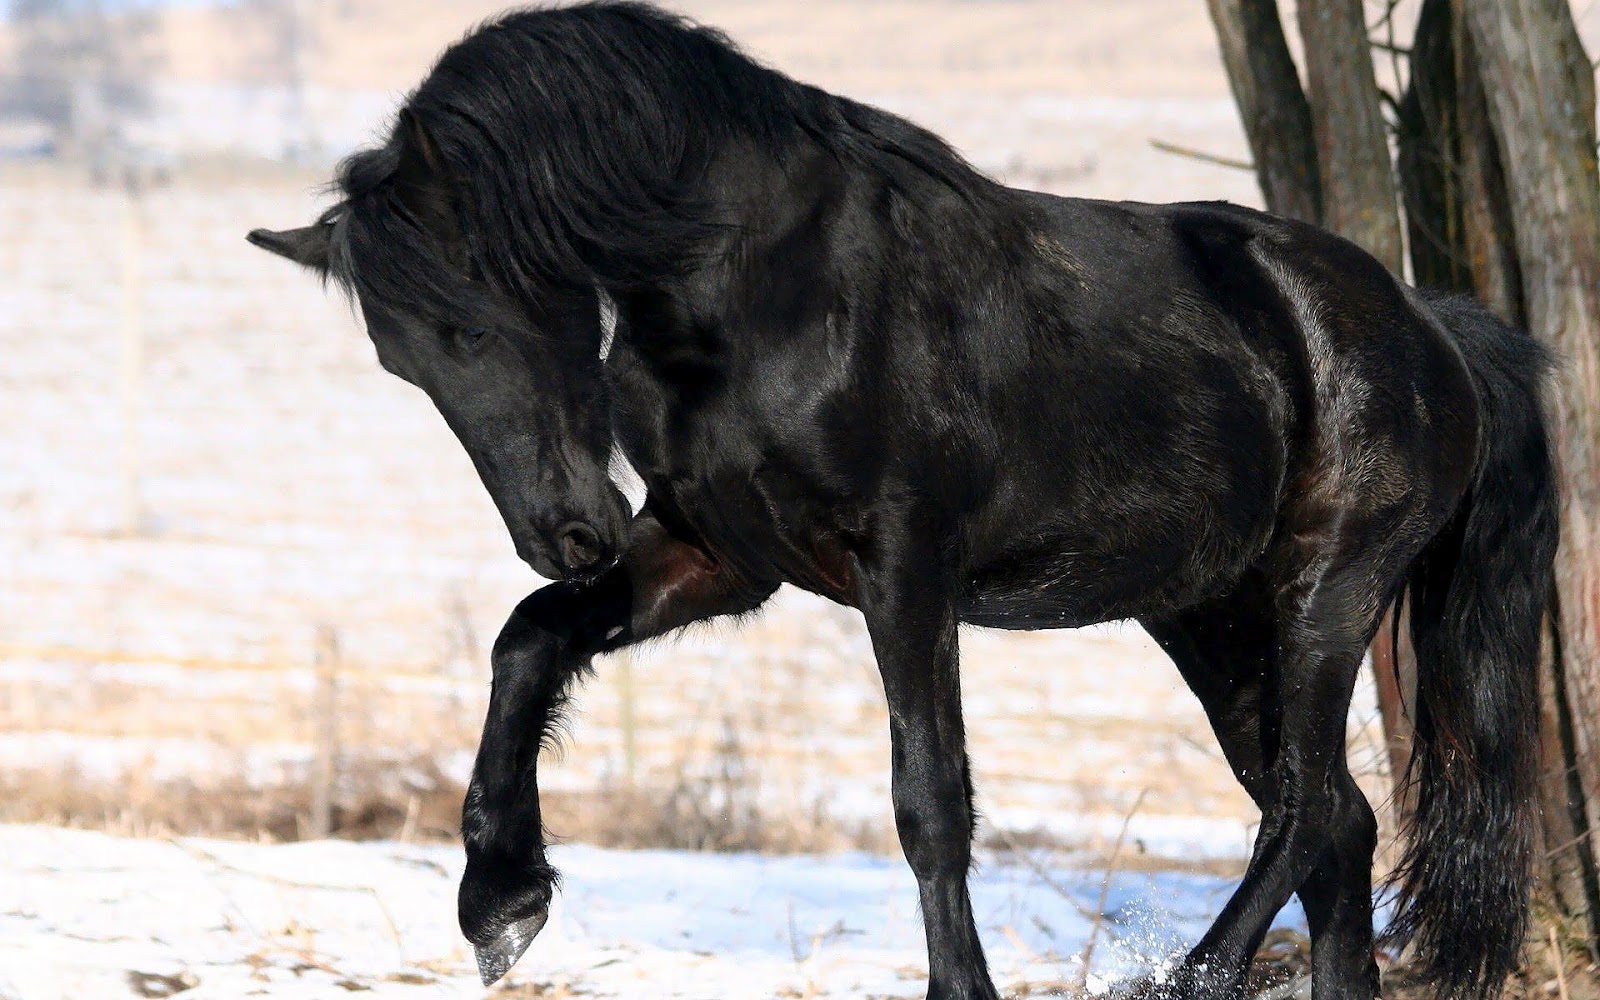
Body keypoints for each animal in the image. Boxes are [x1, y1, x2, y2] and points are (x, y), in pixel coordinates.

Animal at [246, 4, 1558, 998]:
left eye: (475, 319)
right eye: (402, 362)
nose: (564, 532)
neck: (761, 287)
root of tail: (1429, 326)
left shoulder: (906, 570)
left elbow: (930, 799)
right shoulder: (717, 555)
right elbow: (526, 642)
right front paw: (501, 901)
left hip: (1323, 592)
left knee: (1302, 805)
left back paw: (1182, 977)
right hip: (1210, 617)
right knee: (1337, 826)